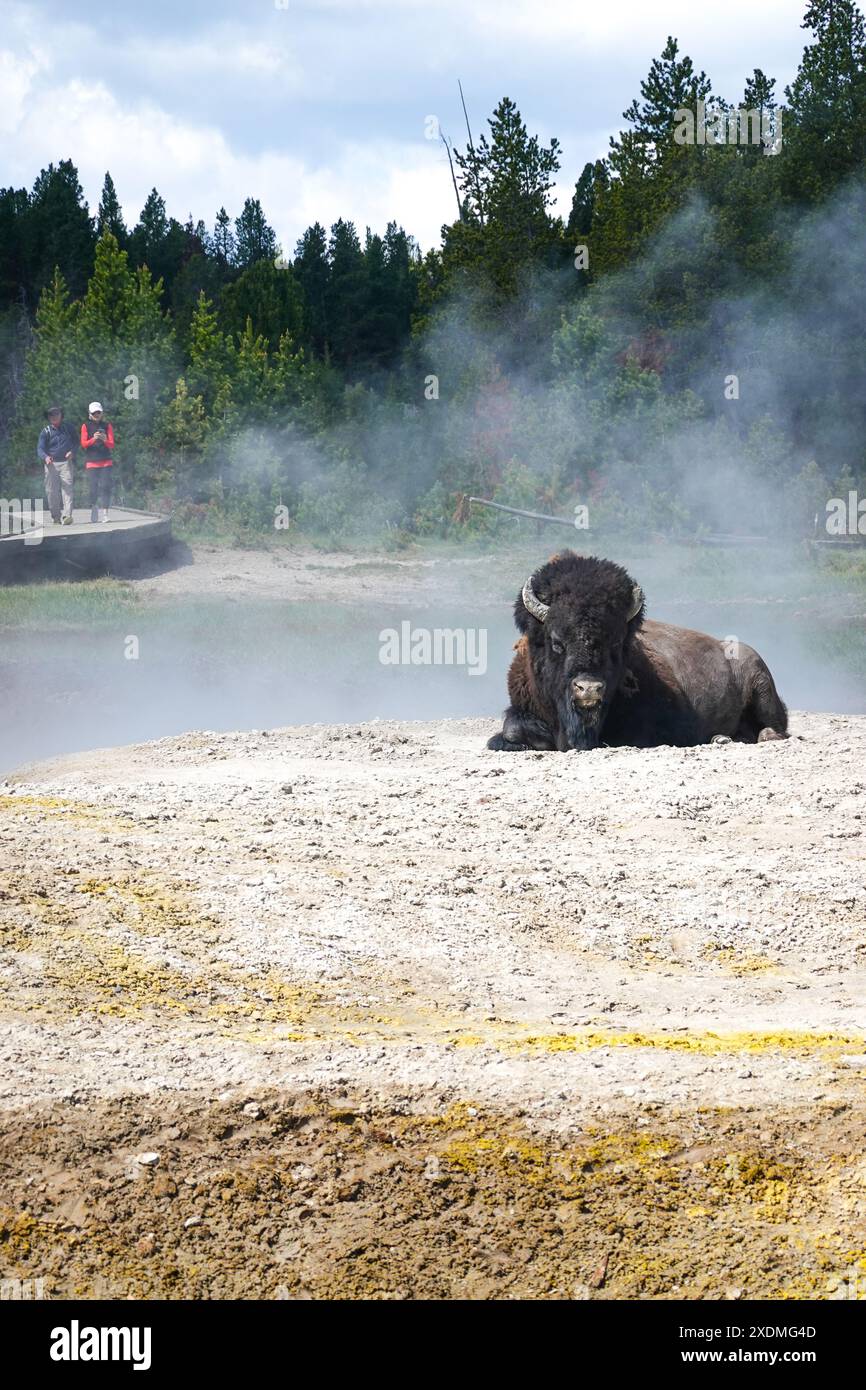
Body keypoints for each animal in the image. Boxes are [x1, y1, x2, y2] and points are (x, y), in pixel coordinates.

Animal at [487, 551, 788, 752]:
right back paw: (721, 738)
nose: (588, 689)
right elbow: (510, 731)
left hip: (761, 685)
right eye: (556, 641)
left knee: (776, 729)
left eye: (616, 643)